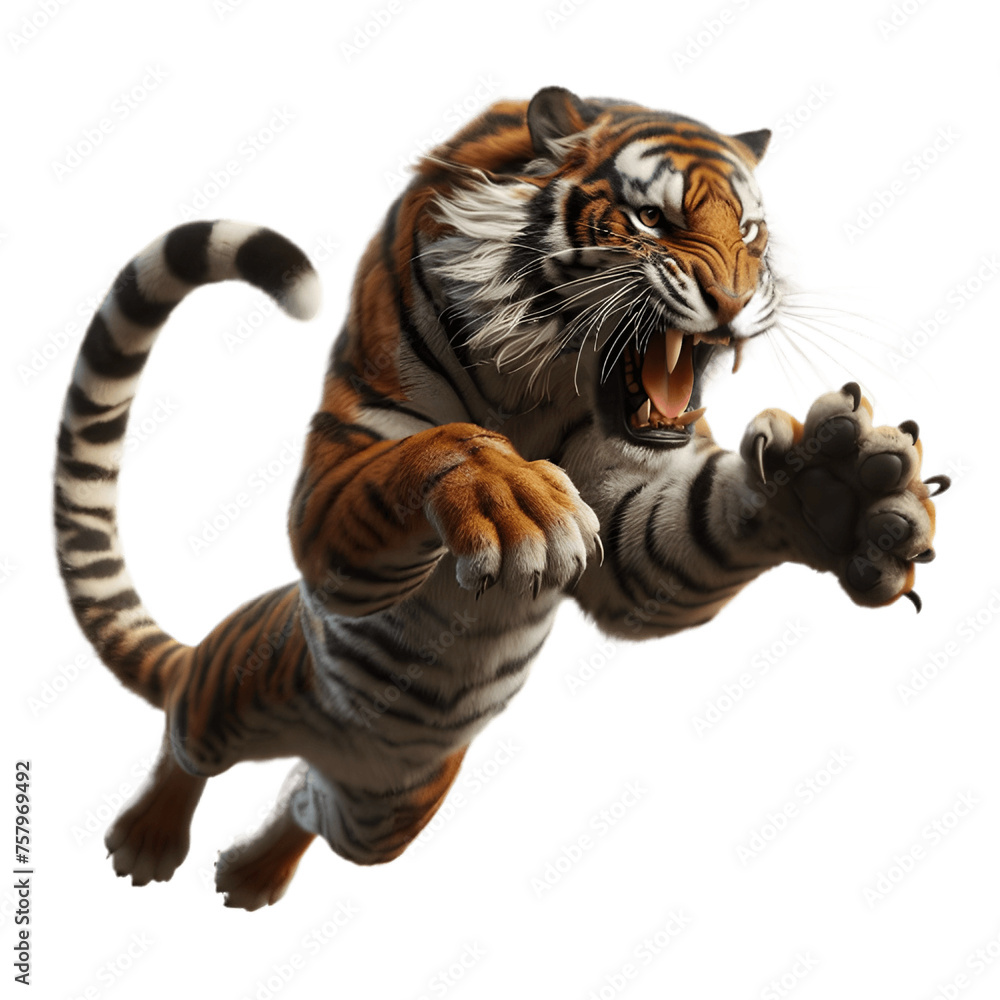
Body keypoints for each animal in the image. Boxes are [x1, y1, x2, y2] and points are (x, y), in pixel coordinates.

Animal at [54, 87, 948, 910]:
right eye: (652, 219)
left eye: (753, 233)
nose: (732, 304)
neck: (544, 377)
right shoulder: (337, 479)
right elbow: (435, 450)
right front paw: (510, 493)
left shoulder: (632, 534)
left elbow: (693, 532)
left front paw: (836, 492)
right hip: (239, 688)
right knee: (185, 737)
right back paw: (146, 842)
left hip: (384, 811)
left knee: (306, 799)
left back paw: (251, 875)